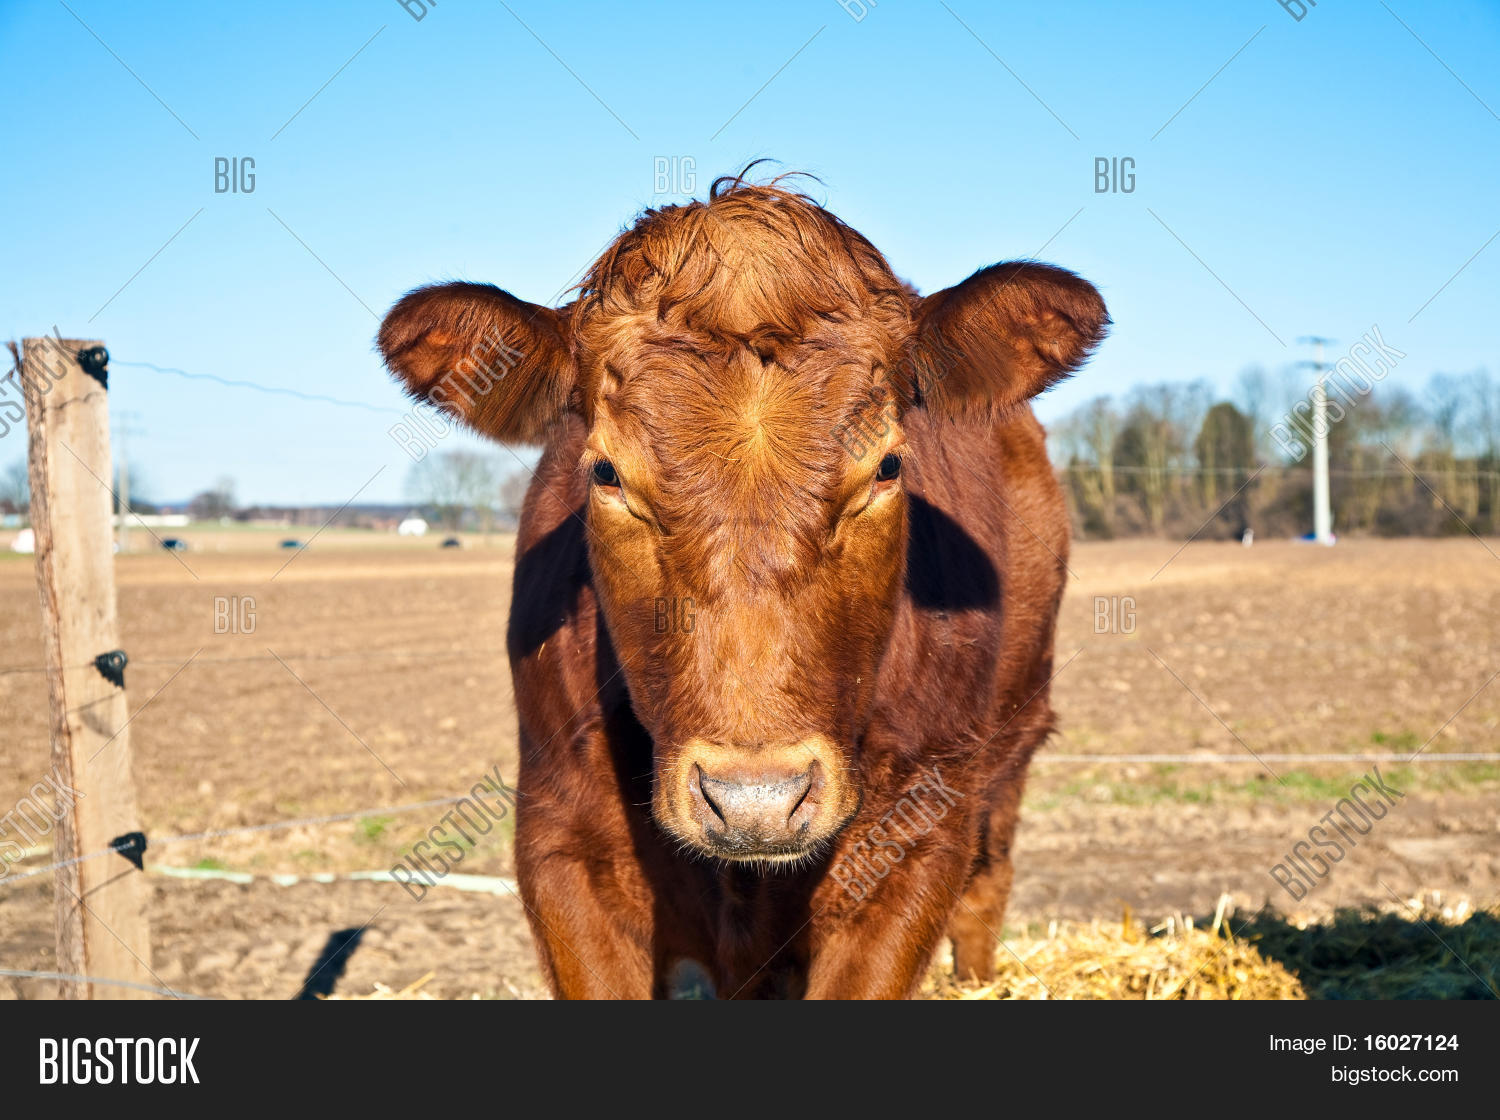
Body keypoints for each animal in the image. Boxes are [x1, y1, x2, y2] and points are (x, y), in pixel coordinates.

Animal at [377, 172, 1107, 999]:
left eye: (887, 466)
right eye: (606, 472)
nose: (755, 802)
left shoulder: (921, 839)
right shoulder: (560, 843)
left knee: (987, 889)